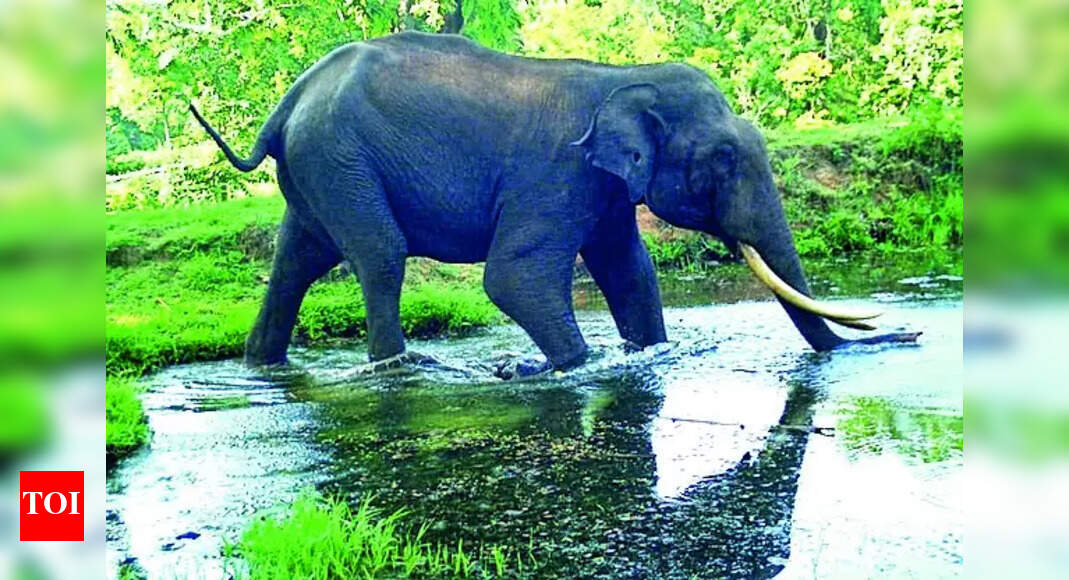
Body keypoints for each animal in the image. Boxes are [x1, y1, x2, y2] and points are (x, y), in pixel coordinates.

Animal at [190, 31, 918, 376]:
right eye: (722, 160)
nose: (907, 334)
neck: (623, 77)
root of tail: (289, 100)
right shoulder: (556, 173)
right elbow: (513, 277)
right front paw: (554, 367)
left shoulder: (603, 187)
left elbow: (629, 269)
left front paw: (647, 352)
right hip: (343, 160)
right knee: (380, 255)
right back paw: (404, 365)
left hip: (319, 168)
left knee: (297, 262)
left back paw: (264, 365)